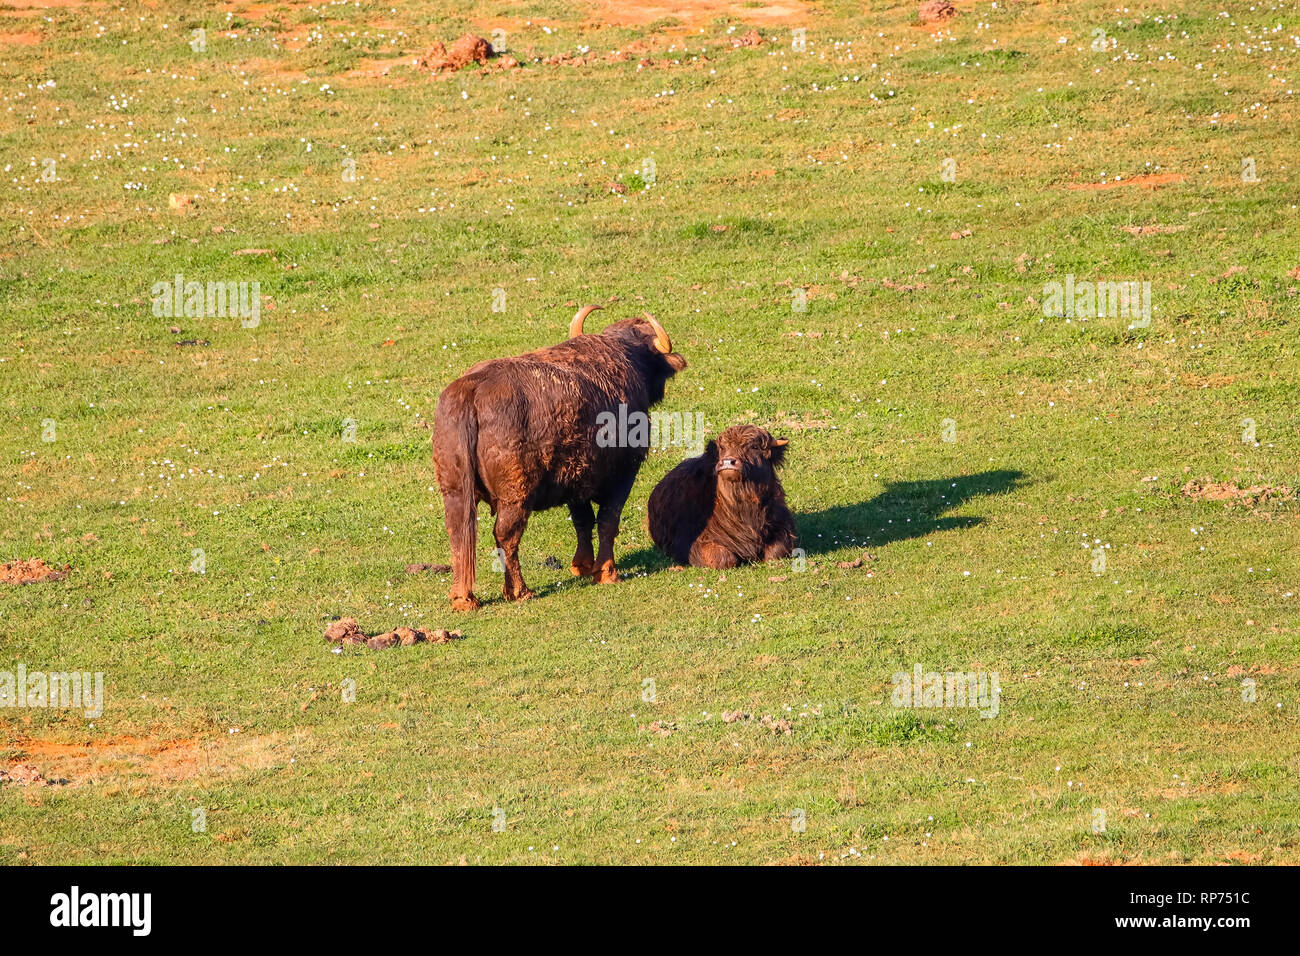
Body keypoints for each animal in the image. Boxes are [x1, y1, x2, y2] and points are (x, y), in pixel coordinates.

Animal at [432, 305, 687, 609]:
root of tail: (471, 390)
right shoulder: (622, 476)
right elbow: (607, 521)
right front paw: (606, 572)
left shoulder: (575, 483)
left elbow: (583, 521)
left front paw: (582, 565)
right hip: (515, 499)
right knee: (506, 536)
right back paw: (520, 591)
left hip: (456, 493)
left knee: (459, 534)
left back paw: (464, 598)